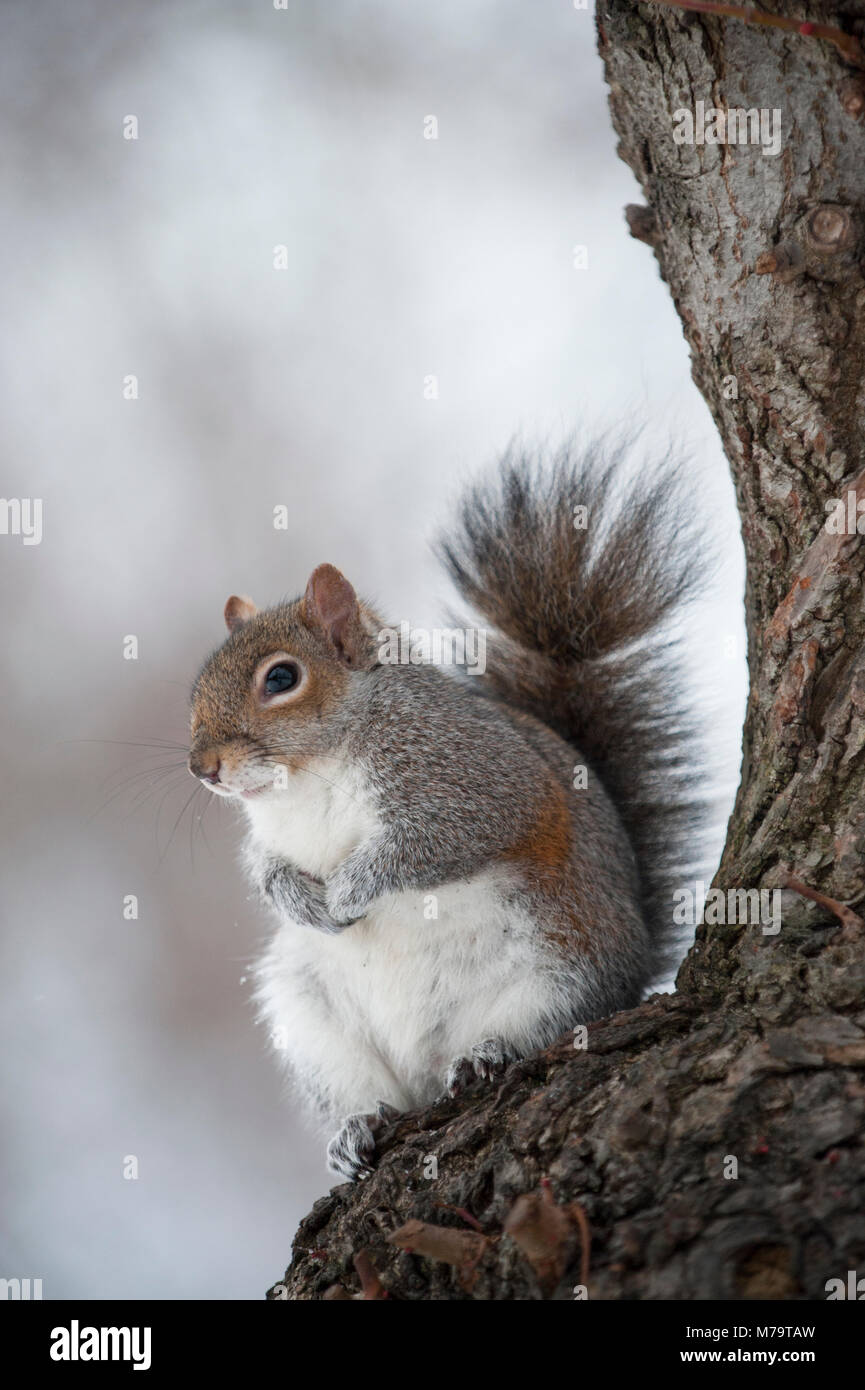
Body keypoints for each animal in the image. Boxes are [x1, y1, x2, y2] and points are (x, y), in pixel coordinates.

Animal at [188, 443, 703, 1181]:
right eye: (198, 685)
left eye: (281, 678)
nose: (201, 767)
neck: (306, 778)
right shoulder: (270, 835)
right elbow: (265, 868)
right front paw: (300, 900)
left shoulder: (475, 780)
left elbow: (431, 843)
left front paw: (348, 889)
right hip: (313, 1025)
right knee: (369, 1094)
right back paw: (355, 1128)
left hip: (561, 968)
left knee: (543, 1026)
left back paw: (487, 1054)